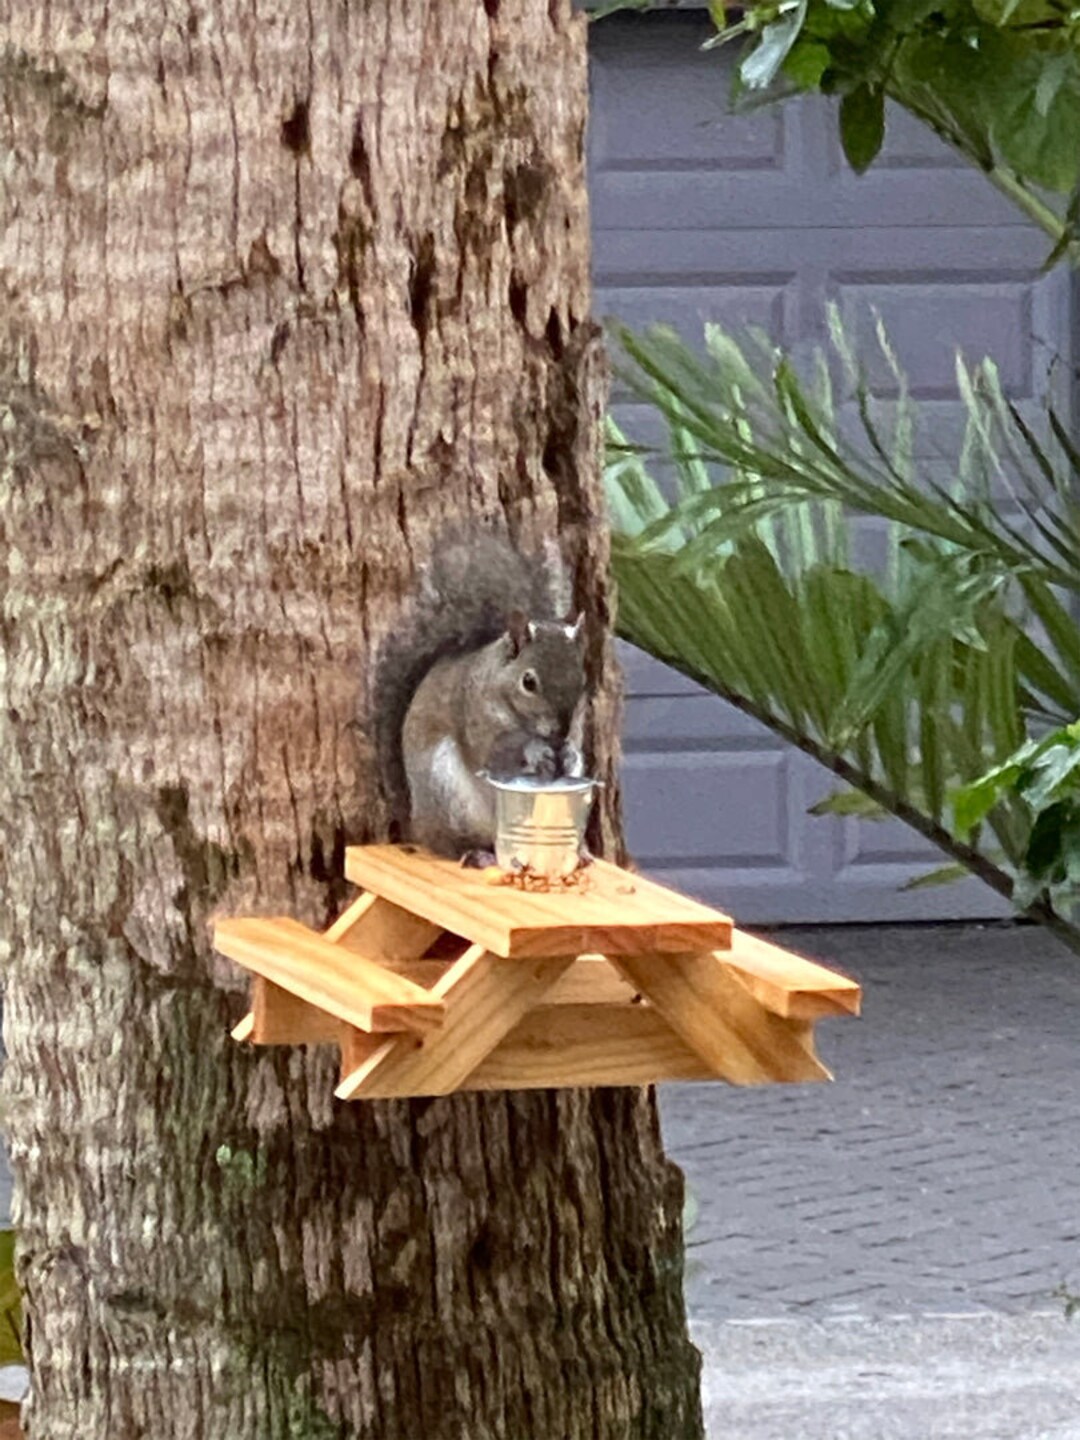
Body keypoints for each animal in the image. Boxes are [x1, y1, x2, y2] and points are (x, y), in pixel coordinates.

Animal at [375, 529, 589, 859]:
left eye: (583, 679)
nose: (561, 731)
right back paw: (475, 855)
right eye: (528, 682)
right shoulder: (473, 716)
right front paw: (535, 750)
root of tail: (417, 822)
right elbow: (494, 753)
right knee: (448, 844)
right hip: (446, 792)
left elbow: (573, 747)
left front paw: (567, 752)